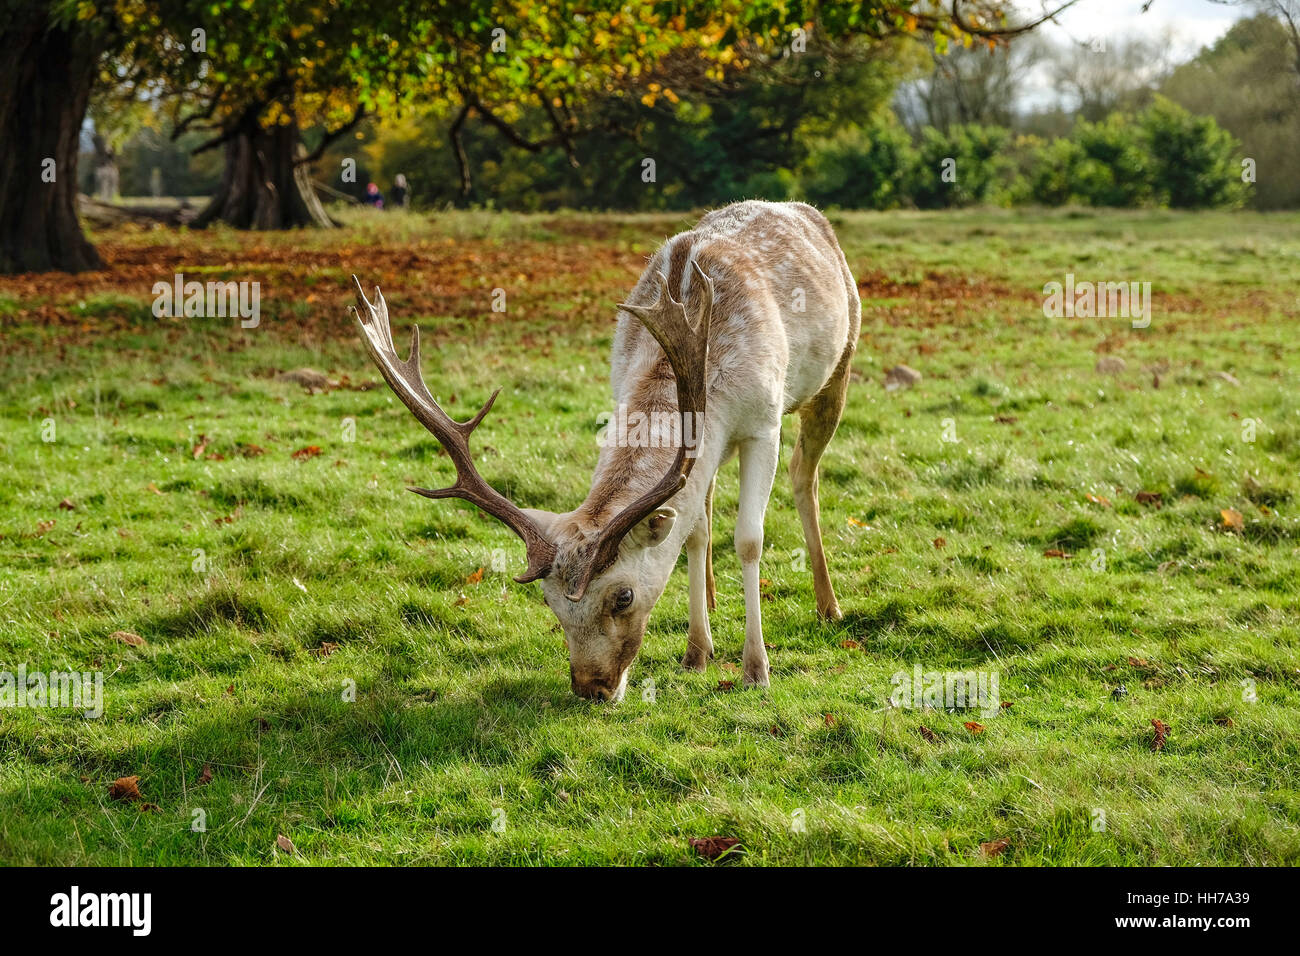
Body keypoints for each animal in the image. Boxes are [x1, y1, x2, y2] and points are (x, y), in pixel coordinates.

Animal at [351, 200, 861, 702]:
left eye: (623, 597)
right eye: (549, 601)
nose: (591, 689)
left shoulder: (762, 424)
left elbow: (750, 540)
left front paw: (756, 670)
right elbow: (693, 531)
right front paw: (696, 653)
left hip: (839, 367)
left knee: (804, 473)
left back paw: (828, 605)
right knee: (712, 499)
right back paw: (716, 599)